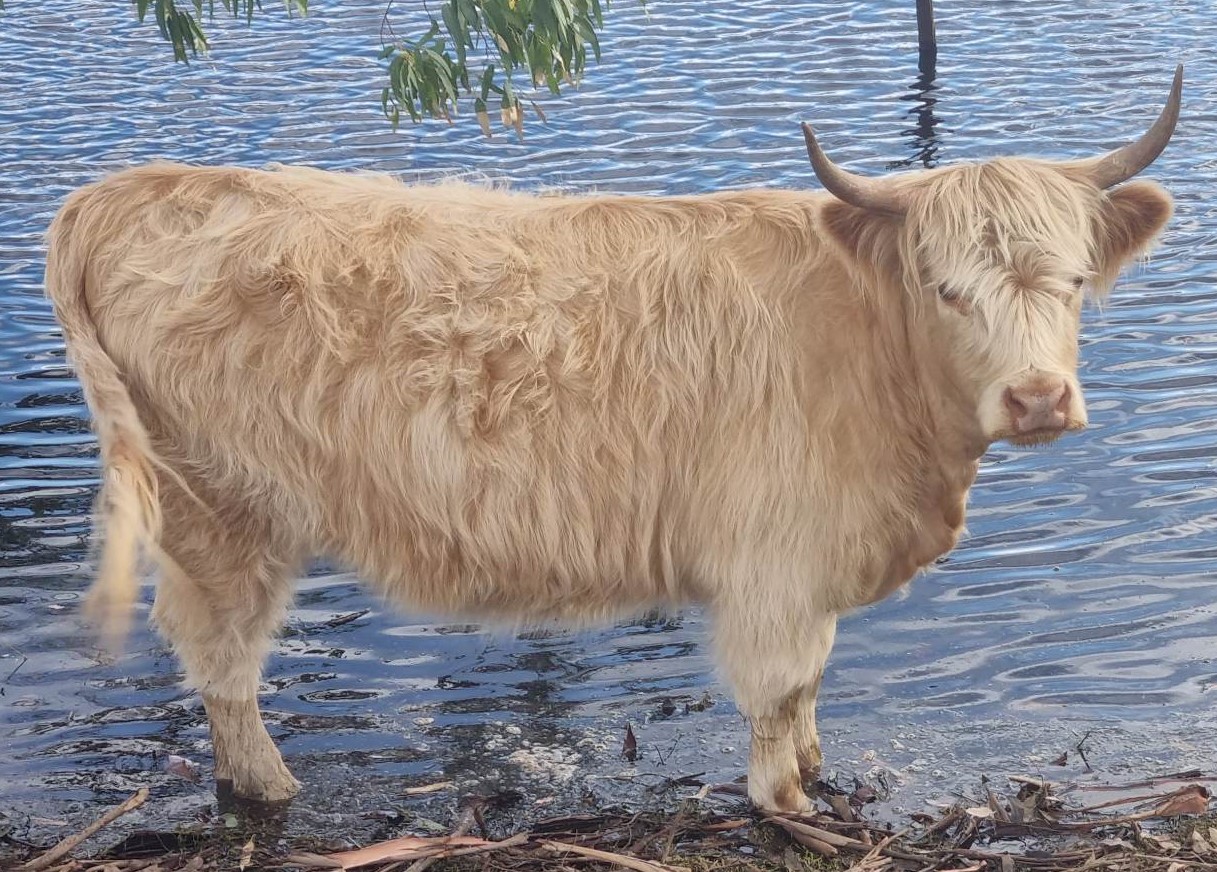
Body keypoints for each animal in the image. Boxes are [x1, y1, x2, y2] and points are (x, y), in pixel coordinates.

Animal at [45, 67, 1181, 814]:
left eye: (1074, 280)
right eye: (946, 288)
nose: (1036, 399)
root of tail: (134, 186)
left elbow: (811, 685)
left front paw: (819, 769)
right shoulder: (773, 565)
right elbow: (777, 695)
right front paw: (790, 803)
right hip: (223, 511)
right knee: (220, 651)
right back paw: (272, 786)